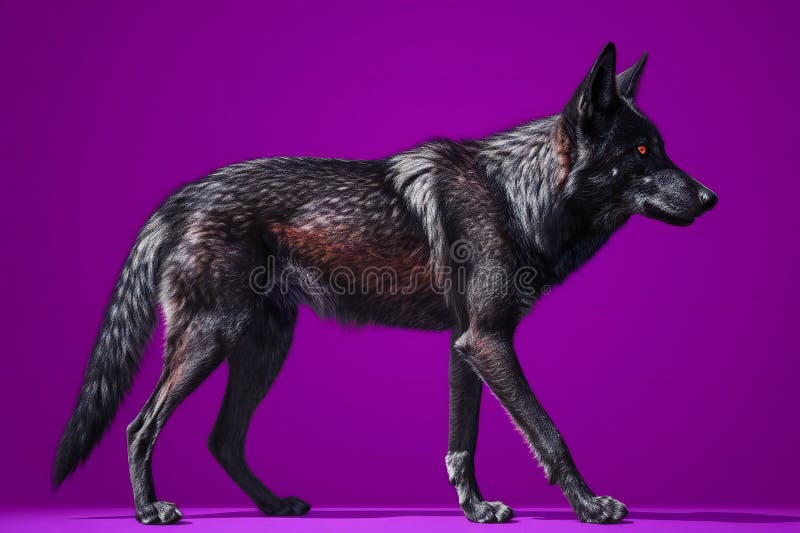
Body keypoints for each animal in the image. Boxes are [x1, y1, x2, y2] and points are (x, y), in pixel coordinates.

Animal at [54, 43, 717, 524]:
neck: (517, 199)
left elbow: (462, 441)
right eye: (641, 152)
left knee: (222, 439)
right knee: (141, 426)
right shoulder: (487, 342)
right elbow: (549, 434)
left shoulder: (467, 347)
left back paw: (274, 506)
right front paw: (589, 505)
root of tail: (179, 198)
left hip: (264, 349)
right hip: (213, 341)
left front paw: (475, 509)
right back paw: (148, 510)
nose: (712, 198)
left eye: (662, 149)